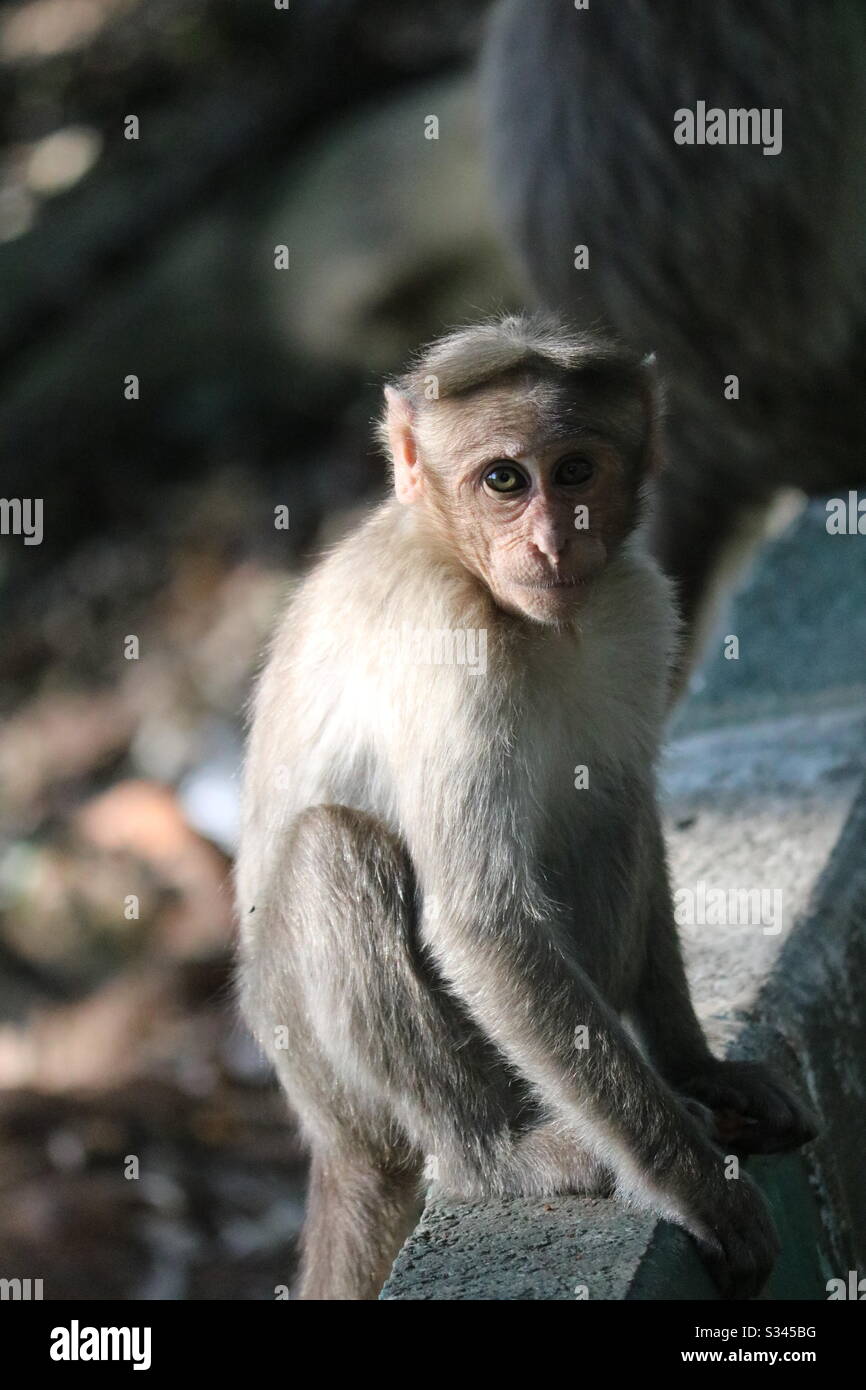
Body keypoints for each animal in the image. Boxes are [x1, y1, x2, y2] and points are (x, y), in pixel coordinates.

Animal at [235, 313, 816, 1302]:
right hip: (328, 1074)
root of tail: (330, 1140)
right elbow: (483, 923)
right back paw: (491, 1157)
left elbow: (629, 792)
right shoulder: (449, 645)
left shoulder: (638, 601)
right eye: (504, 479)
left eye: (575, 471)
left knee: (605, 807)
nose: (553, 542)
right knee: (332, 849)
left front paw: (699, 1068)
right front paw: (703, 1188)